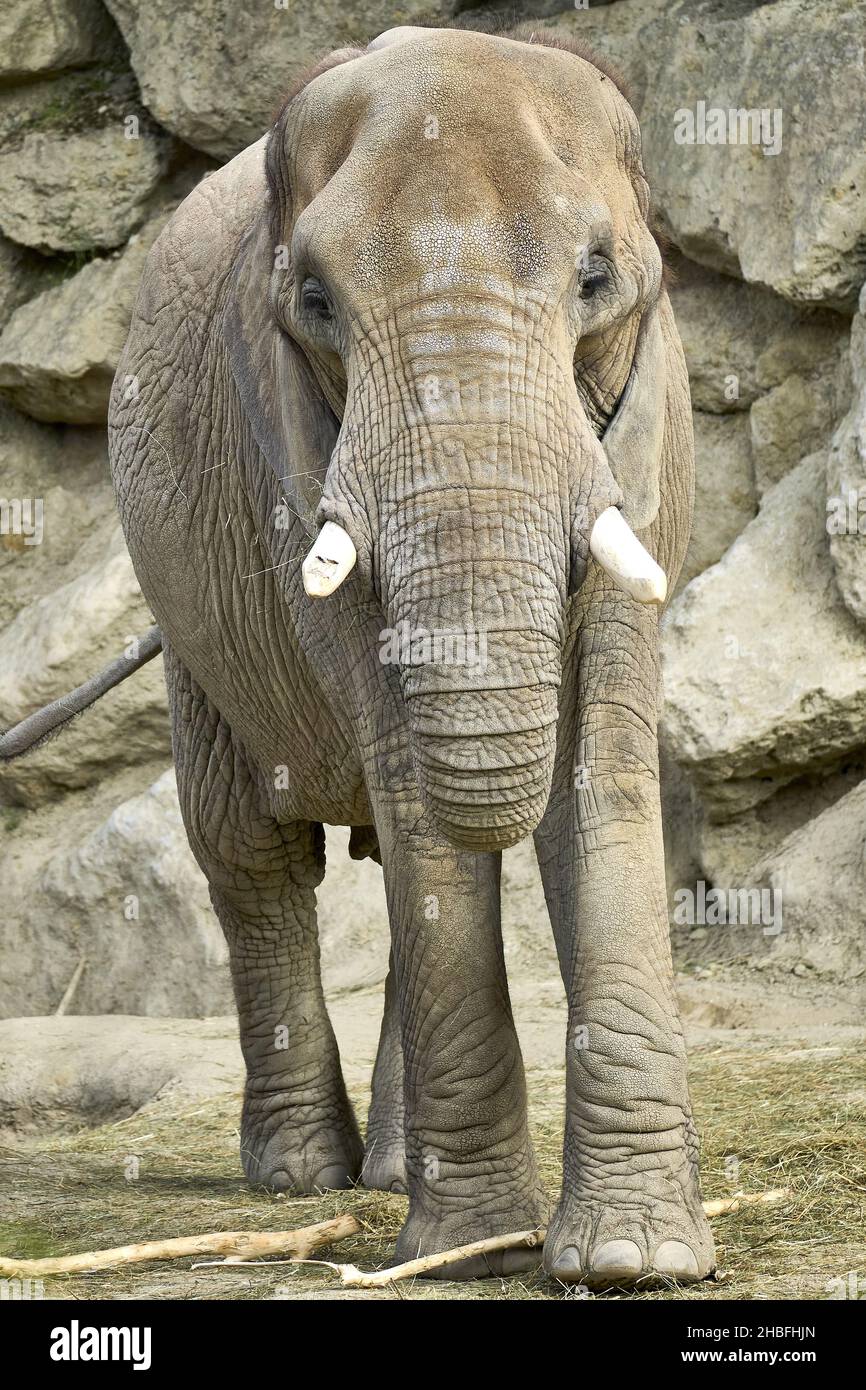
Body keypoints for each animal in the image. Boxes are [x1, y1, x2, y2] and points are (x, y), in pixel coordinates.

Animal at [106, 24, 716, 1286]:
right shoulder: (291, 445)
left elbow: (598, 771)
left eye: (594, 279)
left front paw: (629, 1258)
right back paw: (303, 1174)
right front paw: (477, 1249)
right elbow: (415, 787)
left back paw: (389, 1172)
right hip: (187, 614)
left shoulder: (649, 425)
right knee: (251, 848)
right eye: (314, 301)